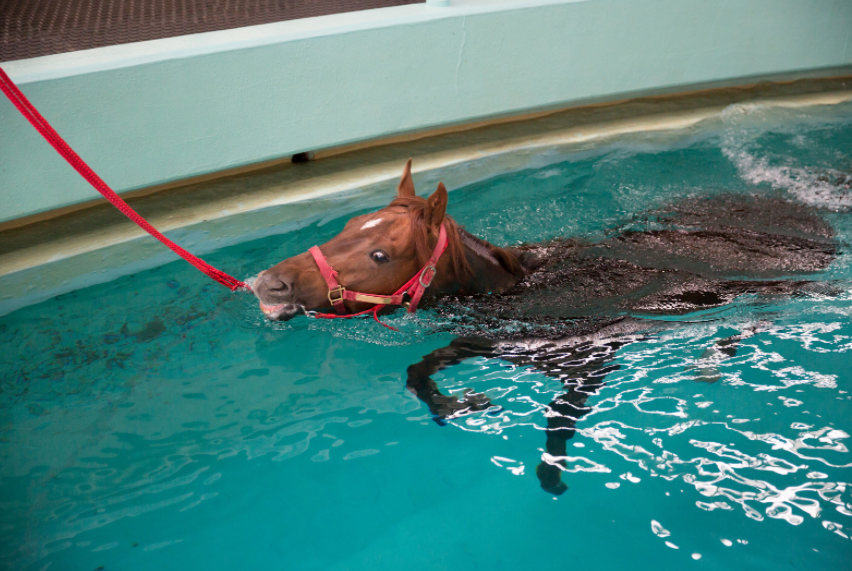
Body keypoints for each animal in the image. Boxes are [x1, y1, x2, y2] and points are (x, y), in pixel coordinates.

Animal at [253, 159, 837, 494]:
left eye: (380, 254)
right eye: (348, 226)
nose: (269, 285)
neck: (526, 291)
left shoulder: (587, 364)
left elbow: (556, 428)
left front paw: (552, 477)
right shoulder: (489, 341)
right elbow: (419, 372)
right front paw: (461, 404)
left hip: (778, 289)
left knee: (752, 324)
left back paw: (712, 361)